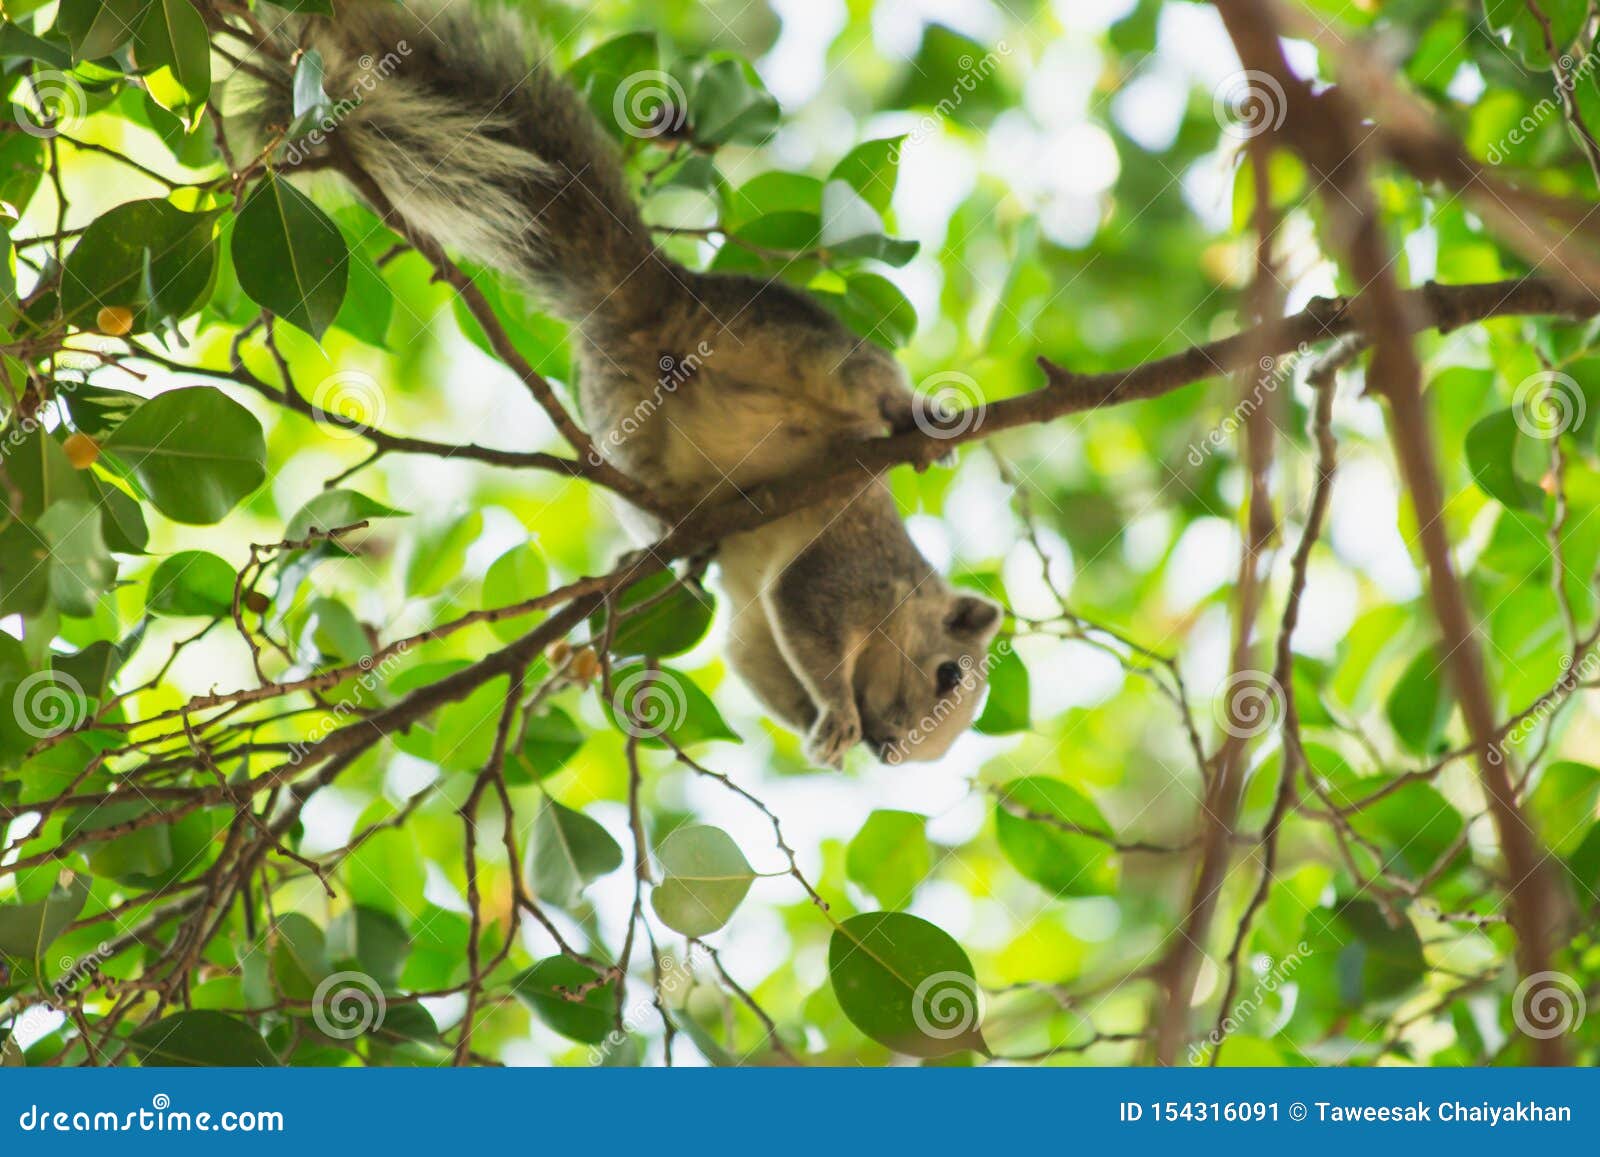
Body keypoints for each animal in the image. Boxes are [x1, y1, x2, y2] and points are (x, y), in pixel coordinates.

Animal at [243, 1, 1003, 768]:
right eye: (948, 673)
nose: (888, 747)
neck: (907, 588)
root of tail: (661, 293)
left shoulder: (756, 625)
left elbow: (759, 654)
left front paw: (820, 731)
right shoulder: (849, 566)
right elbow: (808, 611)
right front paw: (837, 712)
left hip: (621, 410)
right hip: (797, 344)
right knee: (859, 382)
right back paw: (912, 415)